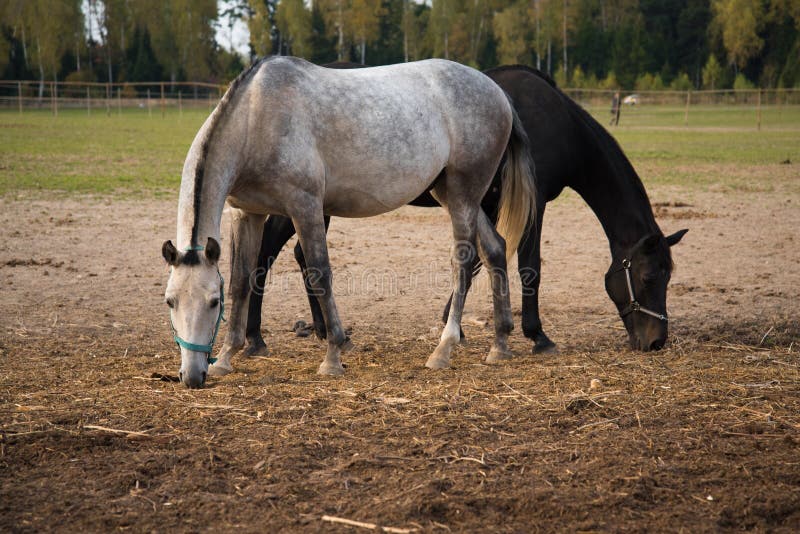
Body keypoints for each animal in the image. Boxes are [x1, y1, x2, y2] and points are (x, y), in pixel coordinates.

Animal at [161, 56, 535, 388]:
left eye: (213, 302)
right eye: (170, 301)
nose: (192, 376)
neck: (257, 119)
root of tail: (498, 93)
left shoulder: (305, 207)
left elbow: (320, 273)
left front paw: (332, 356)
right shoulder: (247, 213)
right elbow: (241, 280)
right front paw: (226, 357)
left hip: (462, 195)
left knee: (464, 262)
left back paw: (444, 348)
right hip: (453, 194)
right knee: (495, 249)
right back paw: (500, 344)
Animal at [241, 64, 687, 358]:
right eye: (650, 275)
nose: (656, 340)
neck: (555, 122)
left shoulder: (483, 202)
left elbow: (476, 262)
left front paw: (453, 325)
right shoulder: (533, 203)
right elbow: (528, 266)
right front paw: (536, 335)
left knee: (300, 255)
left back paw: (322, 330)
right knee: (266, 255)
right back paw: (254, 338)